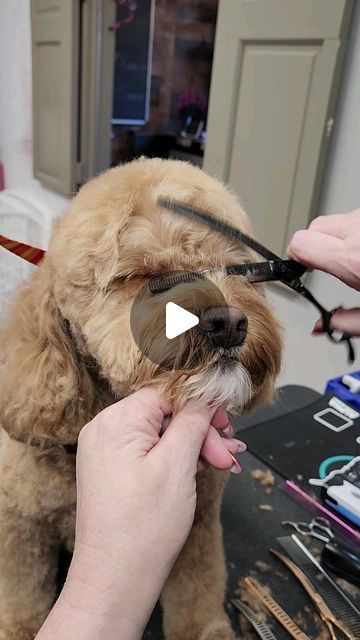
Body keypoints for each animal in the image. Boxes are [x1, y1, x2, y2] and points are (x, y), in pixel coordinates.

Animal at [0, 158, 282, 636]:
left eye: (237, 269)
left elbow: (197, 590)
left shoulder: (197, 524)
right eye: (143, 277)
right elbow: (20, 592)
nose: (228, 322)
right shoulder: (20, 527)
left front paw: (206, 630)